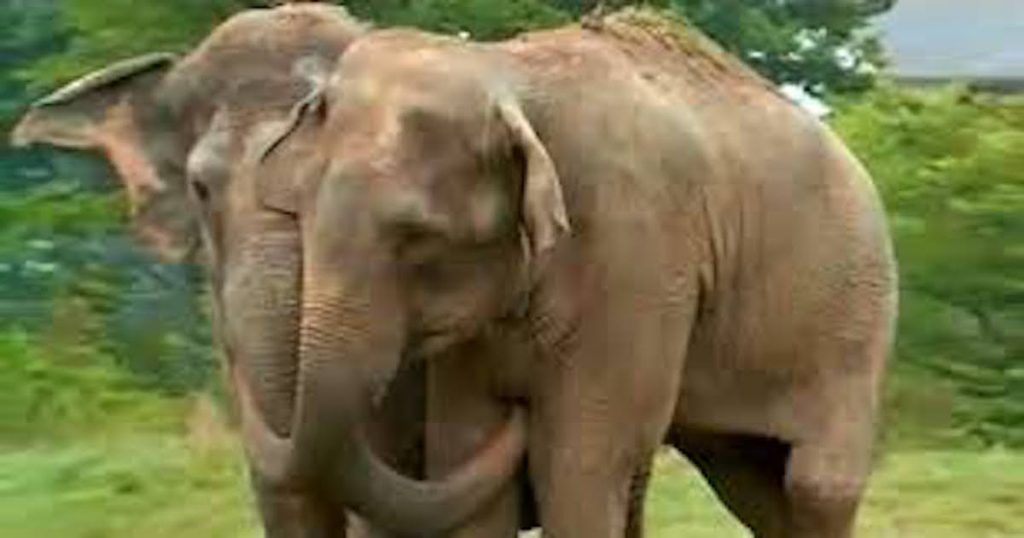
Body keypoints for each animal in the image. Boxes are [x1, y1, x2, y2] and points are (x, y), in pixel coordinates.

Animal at [257, 9, 896, 538]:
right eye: (298, 212)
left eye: (417, 235)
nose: (521, 411)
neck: (505, 70)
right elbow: (465, 454)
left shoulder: (638, 254)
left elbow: (580, 462)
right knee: (750, 481)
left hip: (850, 323)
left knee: (815, 485)